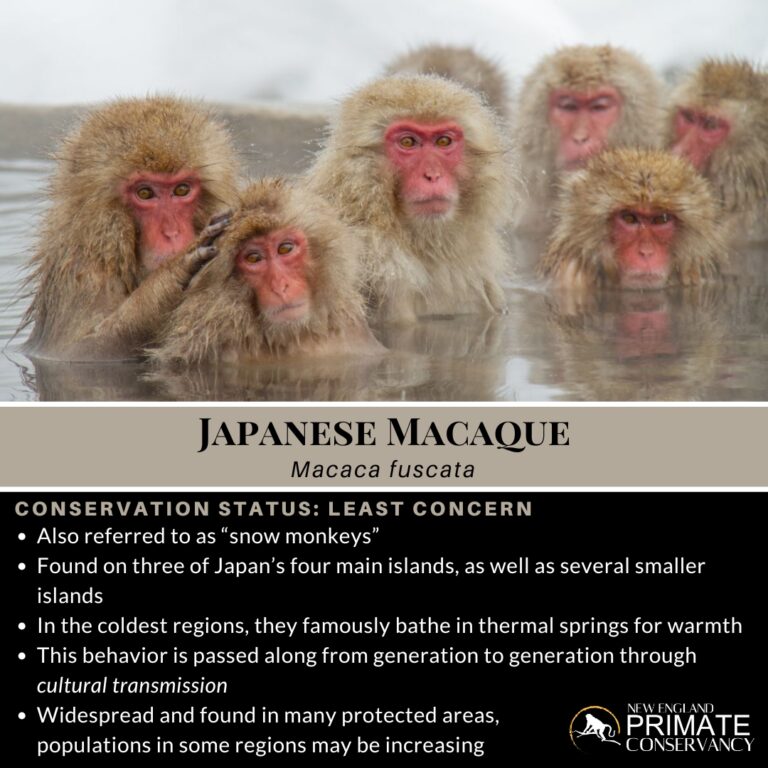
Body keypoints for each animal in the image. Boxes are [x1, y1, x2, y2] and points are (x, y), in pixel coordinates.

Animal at [20, 96, 238, 361]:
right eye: (144, 193)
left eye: (182, 189)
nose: (172, 234)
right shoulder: (81, 271)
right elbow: (78, 351)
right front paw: (179, 269)